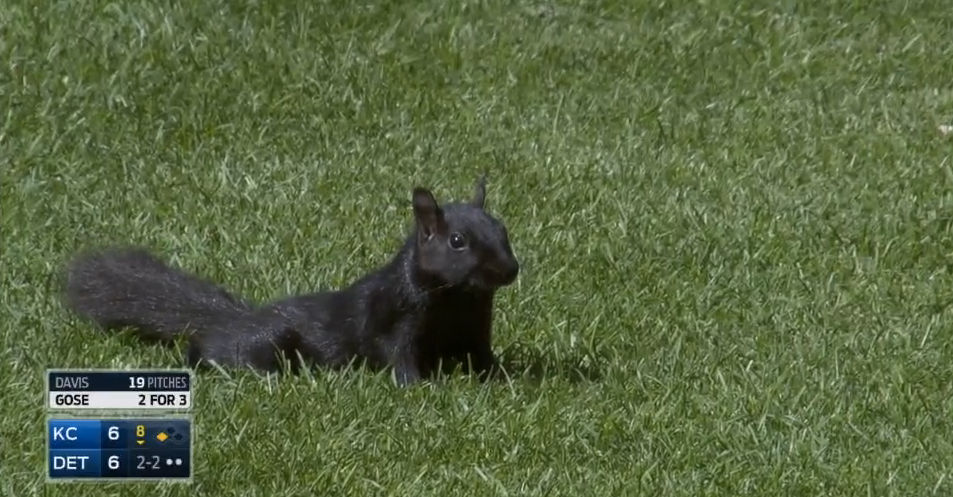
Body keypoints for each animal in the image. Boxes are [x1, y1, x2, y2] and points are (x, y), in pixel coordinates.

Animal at [63, 178, 519, 385]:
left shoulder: (477, 328)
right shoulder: (395, 318)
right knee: (209, 351)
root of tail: (232, 320)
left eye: (503, 228)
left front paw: (504, 378)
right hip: (262, 340)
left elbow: (483, 357)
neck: (458, 300)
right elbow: (398, 354)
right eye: (457, 241)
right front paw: (420, 387)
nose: (510, 269)